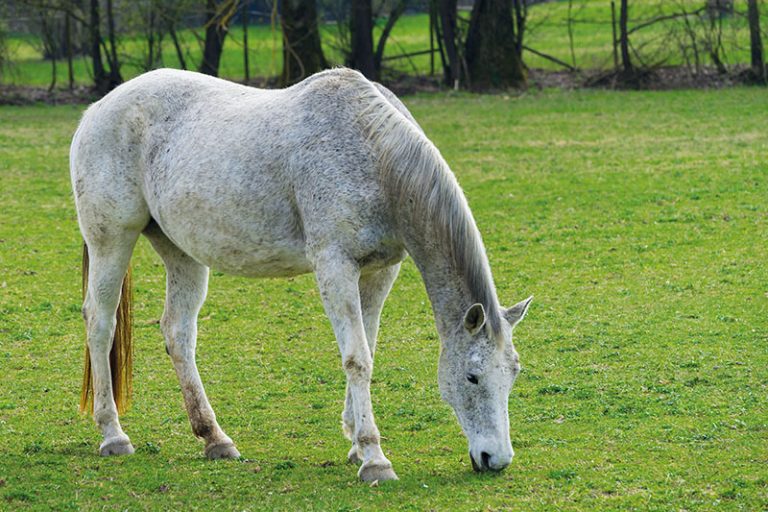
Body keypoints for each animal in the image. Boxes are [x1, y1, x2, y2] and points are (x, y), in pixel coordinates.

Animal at [70, 67, 532, 482]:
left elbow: (368, 347)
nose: (496, 458)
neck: (373, 153)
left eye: (512, 373)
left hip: (182, 253)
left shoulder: (380, 272)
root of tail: (97, 109)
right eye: (472, 376)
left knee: (178, 333)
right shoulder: (334, 266)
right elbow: (357, 357)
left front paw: (355, 442)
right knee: (101, 323)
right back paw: (113, 435)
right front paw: (374, 459)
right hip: (112, 241)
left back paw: (215, 439)